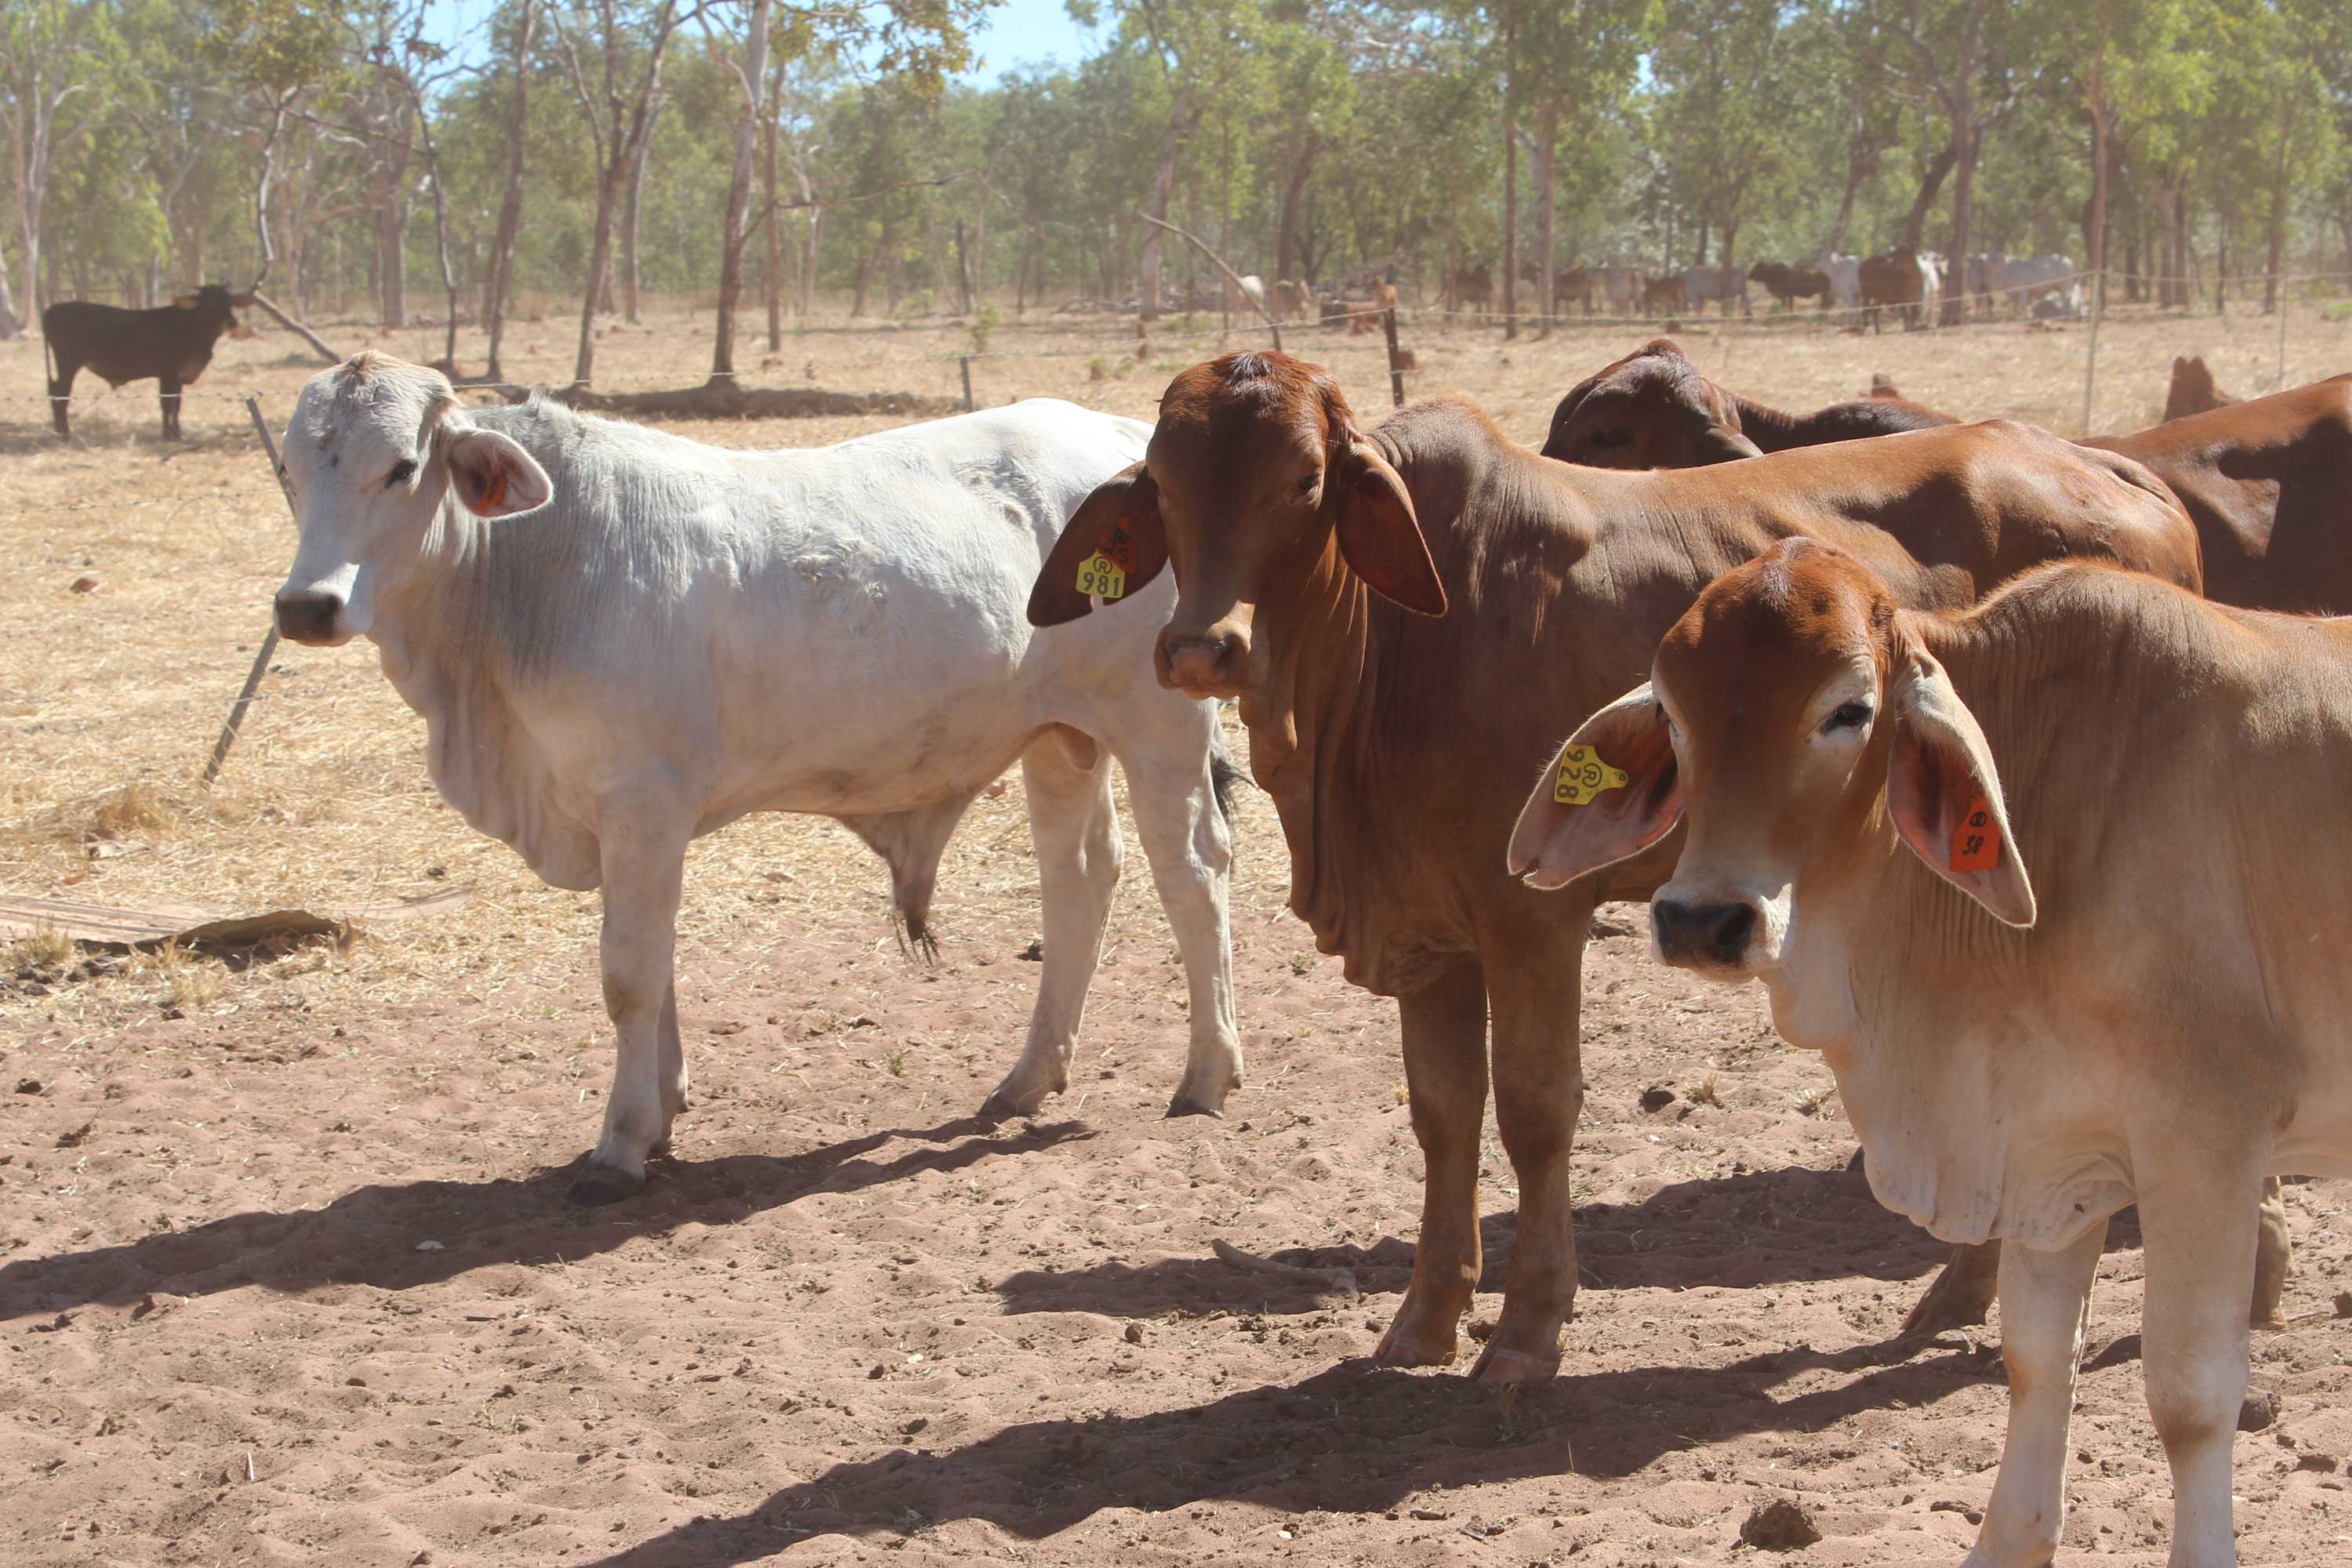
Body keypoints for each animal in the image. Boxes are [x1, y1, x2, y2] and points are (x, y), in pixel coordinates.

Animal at [43, 282, 256, 440]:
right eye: (210, 302)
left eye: (229, 301)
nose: (232, 322)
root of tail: (54, 308)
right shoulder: (168, 373)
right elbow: (166, 403)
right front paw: (167, 435)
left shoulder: (179, 377)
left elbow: (177, 404)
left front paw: (177, 433)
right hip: (68, 365)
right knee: (60, 395)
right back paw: (65, 434)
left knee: (55, 393)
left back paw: (59, 432)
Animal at [273, 353, 1244, 1204]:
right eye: (290, 466)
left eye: (401, 467)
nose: (306, 606)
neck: (531, 566)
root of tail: (1120, 437)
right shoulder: (622, 819)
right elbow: (654, 960)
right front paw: (663, 1110)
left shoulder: (643, 802)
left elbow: (628, 973)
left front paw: (620, 1143)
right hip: (1059, 737)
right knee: (1078, 882)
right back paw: (1029, 1076)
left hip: (1159, 723)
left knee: (1193, 873)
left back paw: (1206, 1072)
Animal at [1024, 349, 2198, 1383]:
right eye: (1163, 482)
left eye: (1305, 481)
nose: (1199, 648)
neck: (1391, 650)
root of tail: (2118, 474)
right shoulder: (1432, 937)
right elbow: (1442, 1113)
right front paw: (1426, 1317)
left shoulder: (1532, 916)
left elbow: (1535, 1108)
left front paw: (1527, 1329)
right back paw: (1961, 1290)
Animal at [1509, 535, 2352, 1567]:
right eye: (1671, 710)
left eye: (1849, 709)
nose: (1702, 919)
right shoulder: (2049, 1157)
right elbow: (2038, 1362)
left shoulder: (2207, 1143)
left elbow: (2189, 1395)